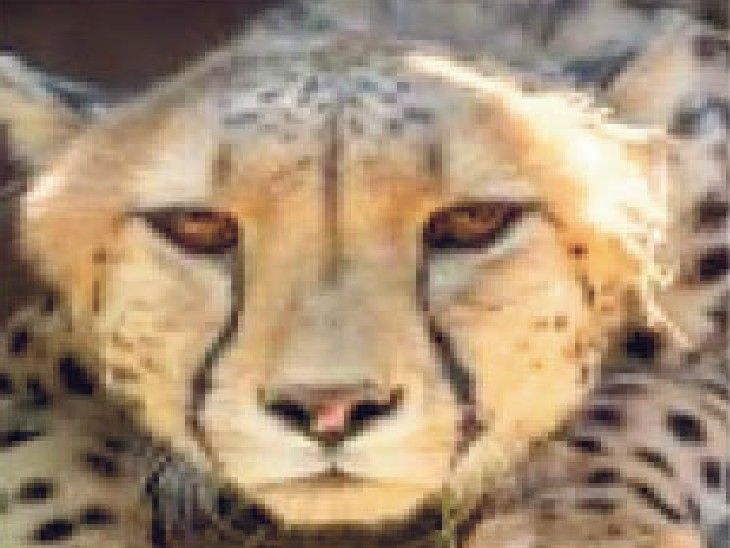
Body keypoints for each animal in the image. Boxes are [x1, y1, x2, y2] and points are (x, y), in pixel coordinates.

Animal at [0, 1, 727, 546]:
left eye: (475, 221)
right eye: (196, 227)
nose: (329, 410)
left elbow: (654, 402)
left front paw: (577, 525)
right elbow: (43, 459)